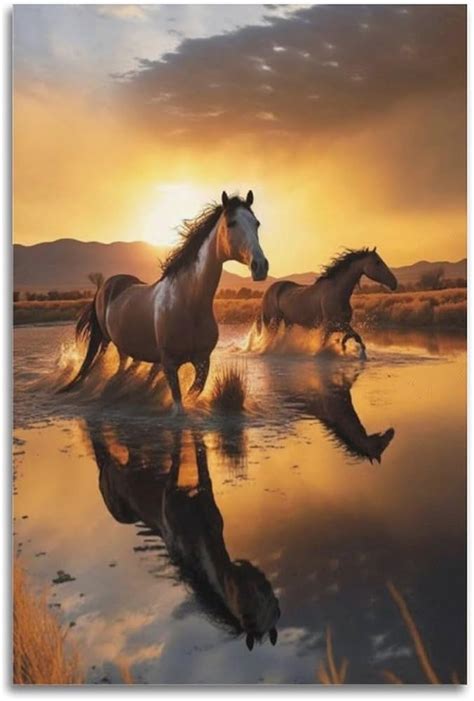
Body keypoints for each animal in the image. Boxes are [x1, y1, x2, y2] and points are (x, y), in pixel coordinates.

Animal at [60, 190, 268, 411]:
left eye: (256, 223)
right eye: (231, 223)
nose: (260, 266)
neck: (188, 303)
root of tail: (106, 285)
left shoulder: (202, 361)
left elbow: (192, 393)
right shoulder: (169, 364)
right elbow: (178, 403)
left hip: (130, 348)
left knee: (127, 367)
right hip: (107, 340)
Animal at [87, 421, 280, 650]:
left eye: (267, 590)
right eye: (256, 591)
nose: (253, 568)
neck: (198, 540)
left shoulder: (204, 491)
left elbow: (200, 458)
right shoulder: (171, 493)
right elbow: (178, 454)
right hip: (112, 482)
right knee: (101, 448)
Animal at [258, 248, 397, 358]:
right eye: (377, 262)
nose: (394, 283)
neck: (337, 292)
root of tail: (270, 289)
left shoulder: (341, 324)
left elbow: (354, 336)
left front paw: (346, 348)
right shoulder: (330, 325)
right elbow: (327, 343)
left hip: (289, 322)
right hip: (275, 320)